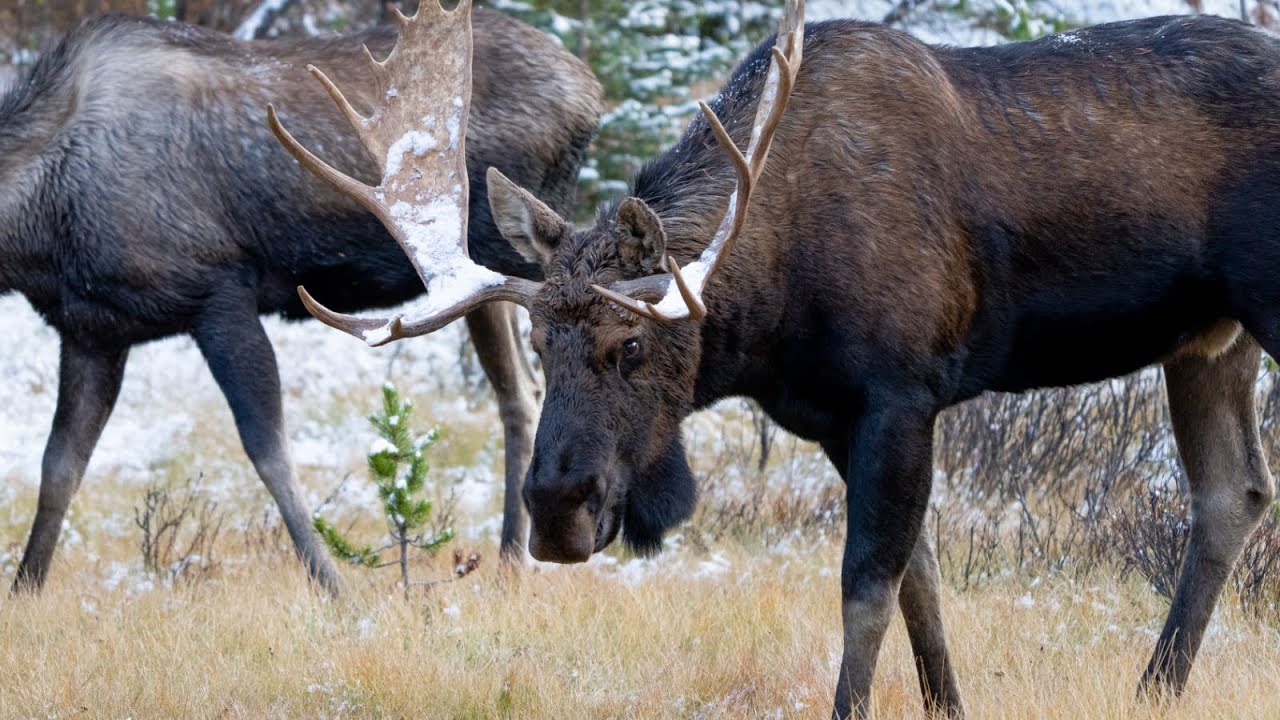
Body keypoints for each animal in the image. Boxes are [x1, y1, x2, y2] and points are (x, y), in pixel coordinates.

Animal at [0, 1, 602, 595]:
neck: (39, 226)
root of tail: (591, 90)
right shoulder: (91, 331)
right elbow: (59, 465)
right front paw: (26, 586)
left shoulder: (219, 296)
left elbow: (268, 450)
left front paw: (331, 583)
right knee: (519, 391)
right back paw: (510, 557)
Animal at [295, 0, 1280, 716]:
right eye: (539, 341)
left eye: (630, 341)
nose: (555, 510)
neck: (769, 312)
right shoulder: (840, 419)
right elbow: (919, 581)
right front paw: (948, 704)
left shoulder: (902, 391)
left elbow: (867, 585)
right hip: (1208, 339)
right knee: (1233, 492)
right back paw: (1155, 689)